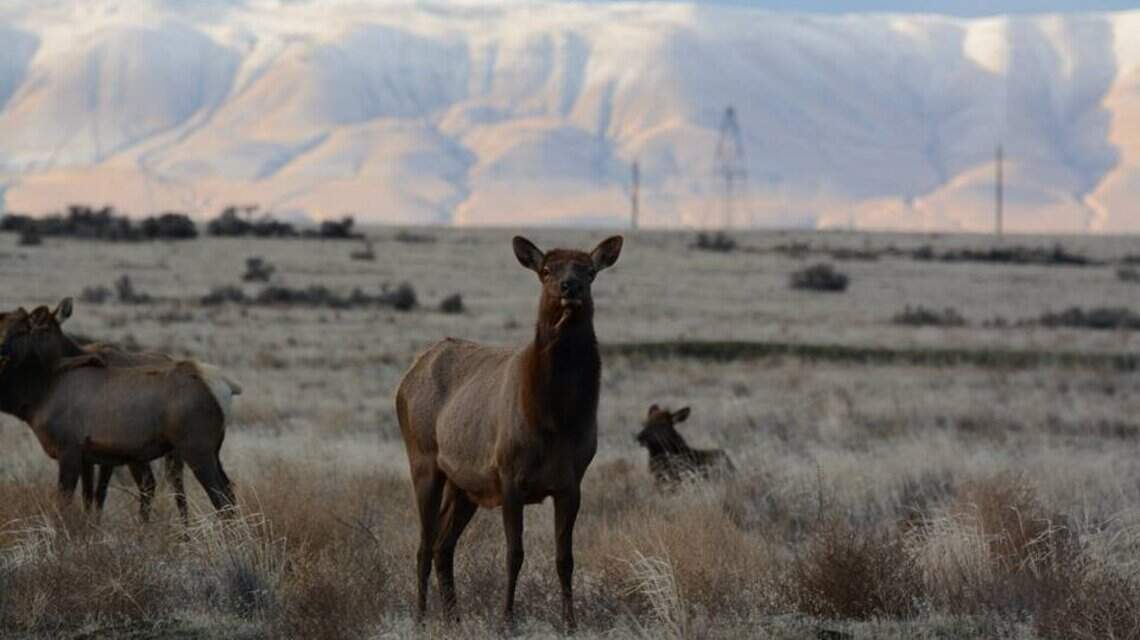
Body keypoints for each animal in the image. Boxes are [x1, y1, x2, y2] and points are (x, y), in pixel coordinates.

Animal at [0, 303, 239, 515]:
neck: (39, 395)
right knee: (228, 490)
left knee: (219, 498)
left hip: (196, 449)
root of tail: (224, 387)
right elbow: (88, 499)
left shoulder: (70, 450)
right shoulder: (89, 456)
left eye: (21, 330)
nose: (2, 353)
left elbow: (68, 505)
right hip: (210, 450)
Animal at [395, 235, 623, 629]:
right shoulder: (509, 474)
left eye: (590, 271)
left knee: (443, 544)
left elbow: (566, 558)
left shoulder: (572, 481)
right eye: (546, 270)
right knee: (424, 544)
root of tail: (405, 379)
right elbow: (514, 553)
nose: (570, 287)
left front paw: (570, 622)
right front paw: (507, 619)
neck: (555, 420)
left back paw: (453, 618)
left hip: (464, 484)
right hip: (422, 456)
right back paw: (422, 617)